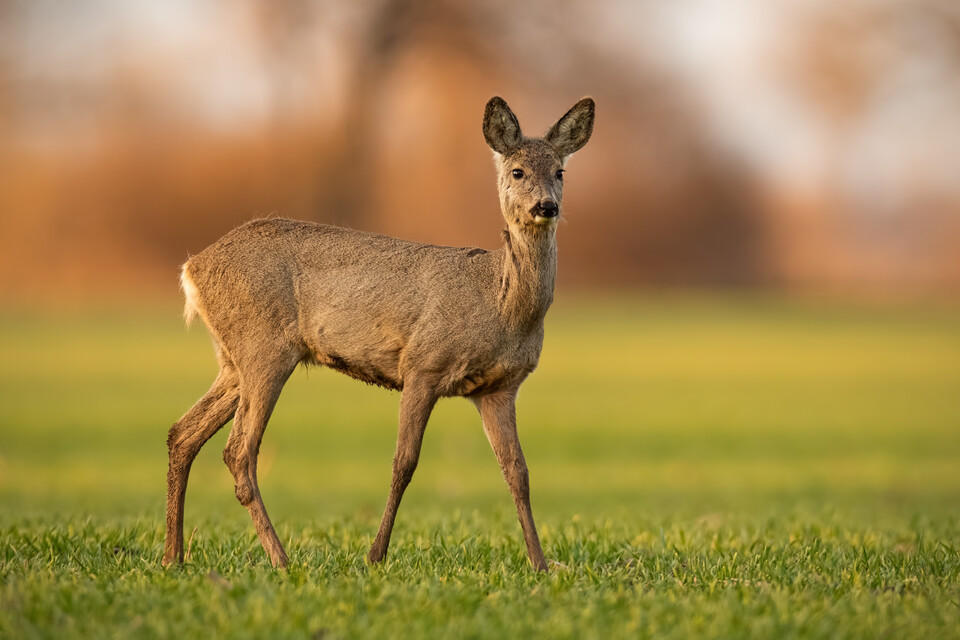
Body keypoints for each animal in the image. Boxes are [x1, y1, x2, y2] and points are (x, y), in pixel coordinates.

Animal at [162, 96, 595, 572]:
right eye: (517, 171)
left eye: (560, 171)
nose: (546, 207)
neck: (501, 304)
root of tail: (192, 268)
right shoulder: (424, 365)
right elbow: (404, 463)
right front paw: (375, 555)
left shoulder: (499, 388)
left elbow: (518, 472)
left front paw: (540, 563)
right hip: (264, 347)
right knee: (238, 450)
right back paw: (280, 558)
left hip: (233, 359)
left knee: (183, 434)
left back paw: (173, 556)